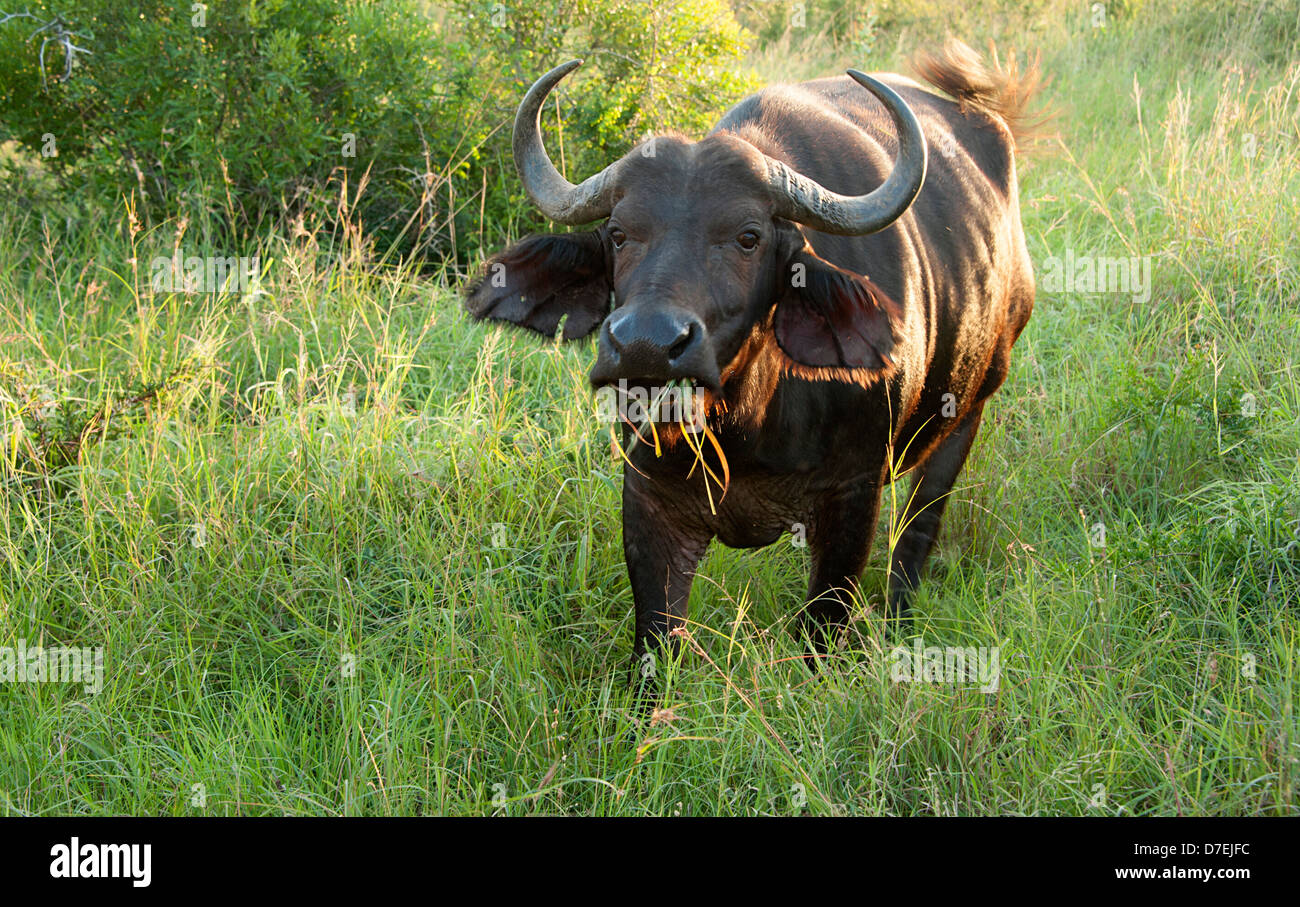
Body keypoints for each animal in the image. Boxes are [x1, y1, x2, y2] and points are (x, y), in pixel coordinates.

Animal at [465, 41, 1039, 667]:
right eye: (618, 233)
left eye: (748, 237)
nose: (645, 343)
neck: (745, 420)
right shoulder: (647, 497)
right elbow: (655, 645)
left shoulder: (854, 497)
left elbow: (824, 627)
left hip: (969, 409)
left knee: (919, 529)